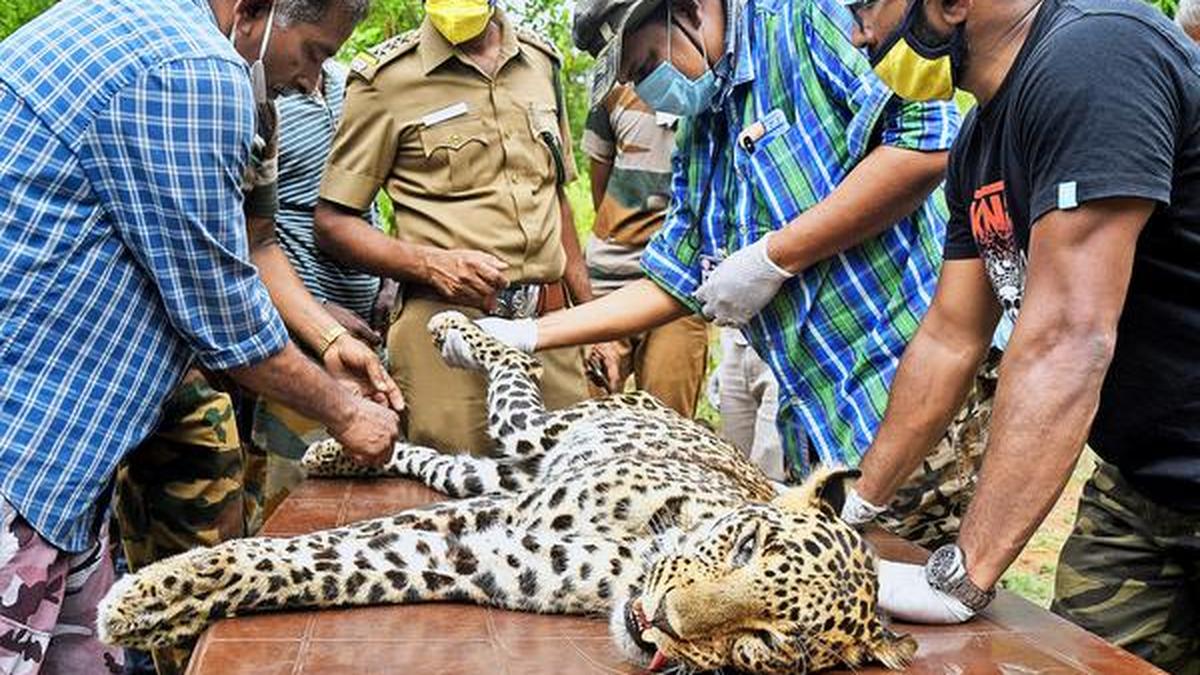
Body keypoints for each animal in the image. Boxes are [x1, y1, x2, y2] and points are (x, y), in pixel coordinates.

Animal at [97, 311, 918, 674]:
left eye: (769, 642)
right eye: (747, 544)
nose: (658, 620)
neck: (631, 561)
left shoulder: (477, 552)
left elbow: (327, 565)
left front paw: (158, 599)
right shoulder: (483, 521)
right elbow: (306, 548)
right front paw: (150, 594)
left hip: (506, 469)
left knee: (443, 458)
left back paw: (346, 448)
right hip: (538, 438)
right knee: (513, 377)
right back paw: (459, 330)